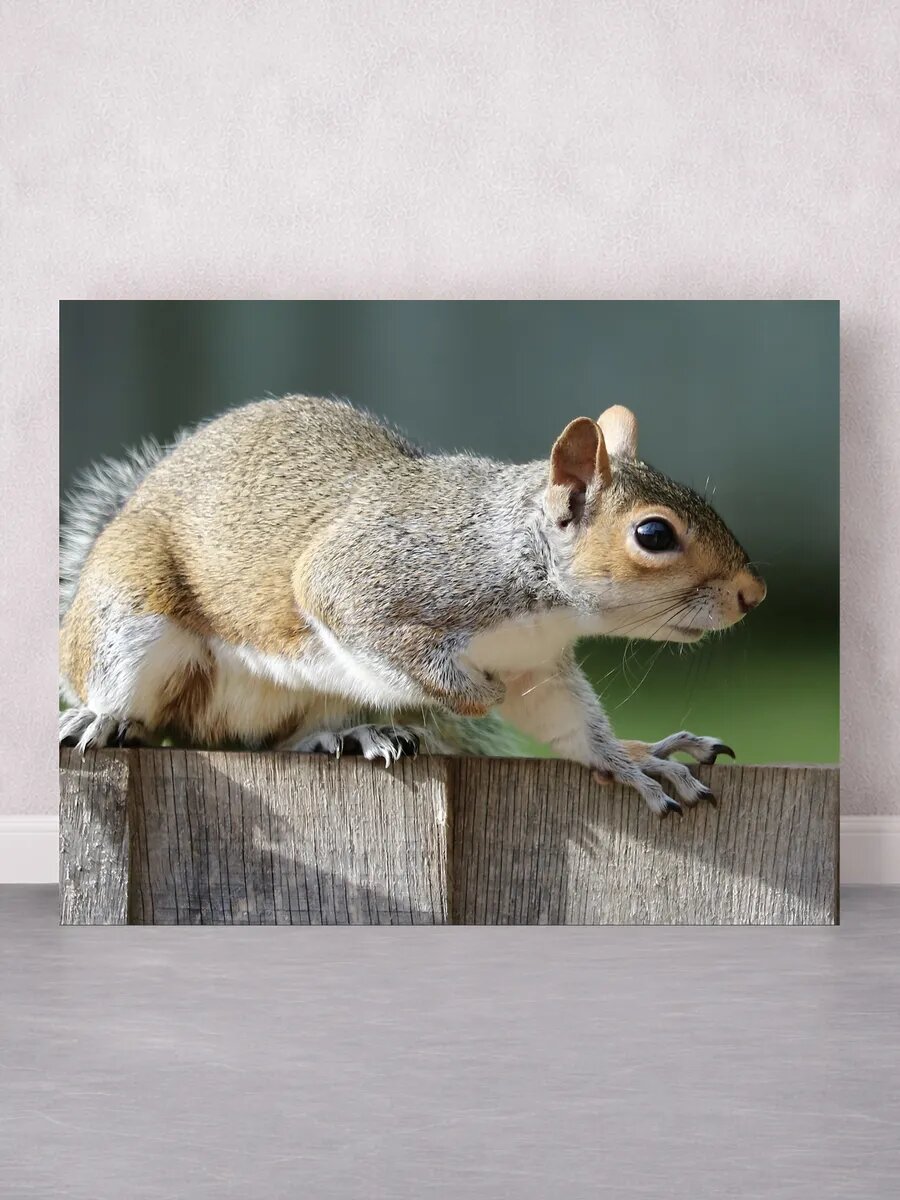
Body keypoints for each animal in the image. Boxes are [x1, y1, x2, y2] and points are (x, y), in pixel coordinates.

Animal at [59, 395, 766, 816]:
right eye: (654, 534)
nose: (753, 595)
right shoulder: (366, 578)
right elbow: (364, 624)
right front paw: (469, 693)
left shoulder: (537, 668)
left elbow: (571, 726)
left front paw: (632, 762)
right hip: (129, 615)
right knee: (134, 698)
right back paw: (104, 720)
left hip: (309, 701)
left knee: (274, 742)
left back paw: (349, 733)